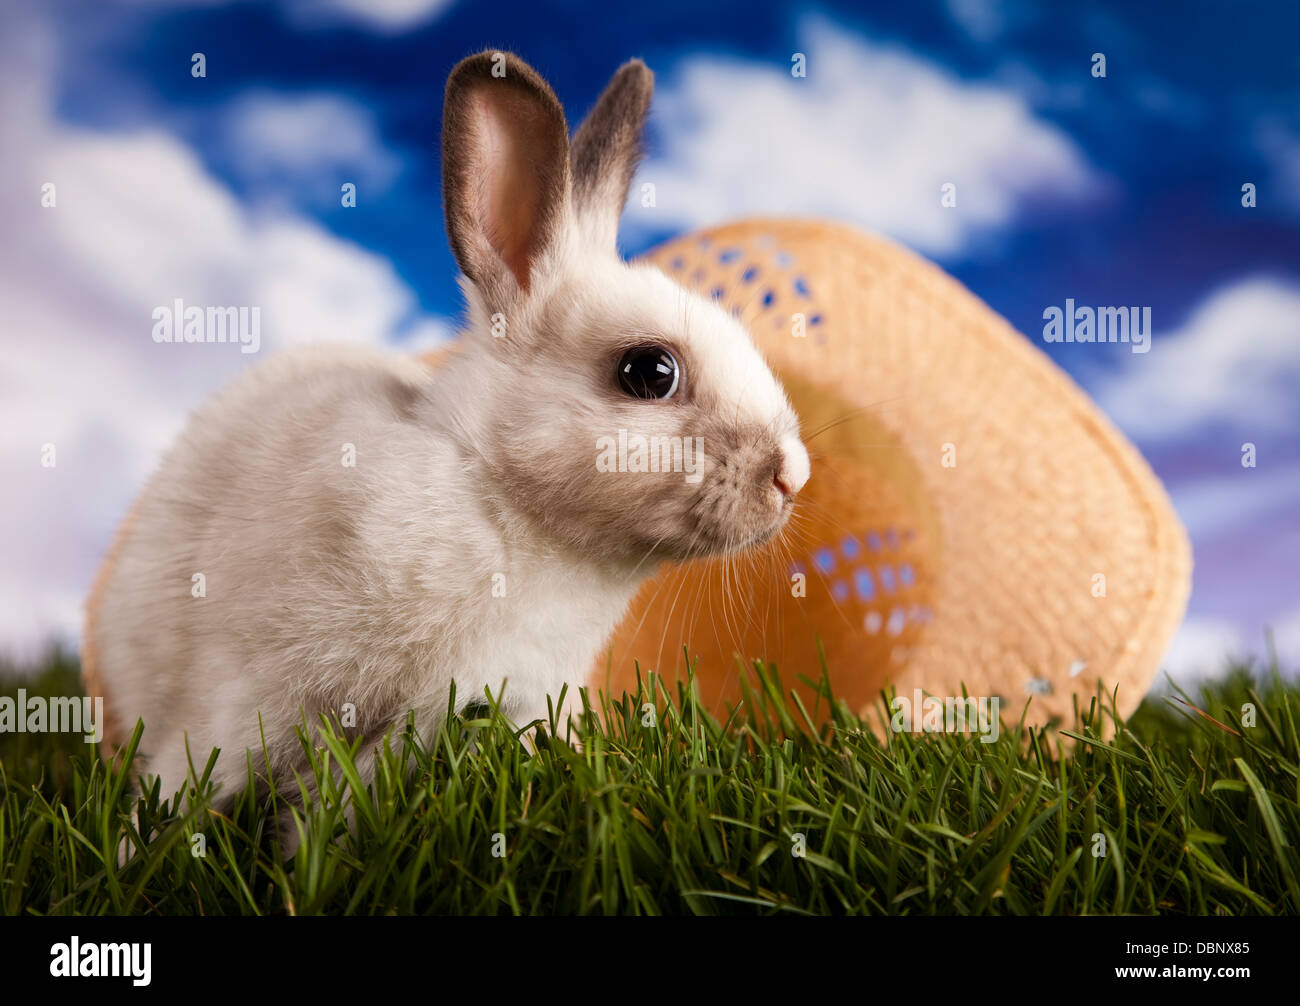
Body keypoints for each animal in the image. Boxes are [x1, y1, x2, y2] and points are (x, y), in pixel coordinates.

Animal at [86, 51, 811, 822]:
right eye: (649, 371)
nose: (793, 475)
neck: (500, 501)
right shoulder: (246, 697)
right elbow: (191, 778)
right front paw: (145, 840)